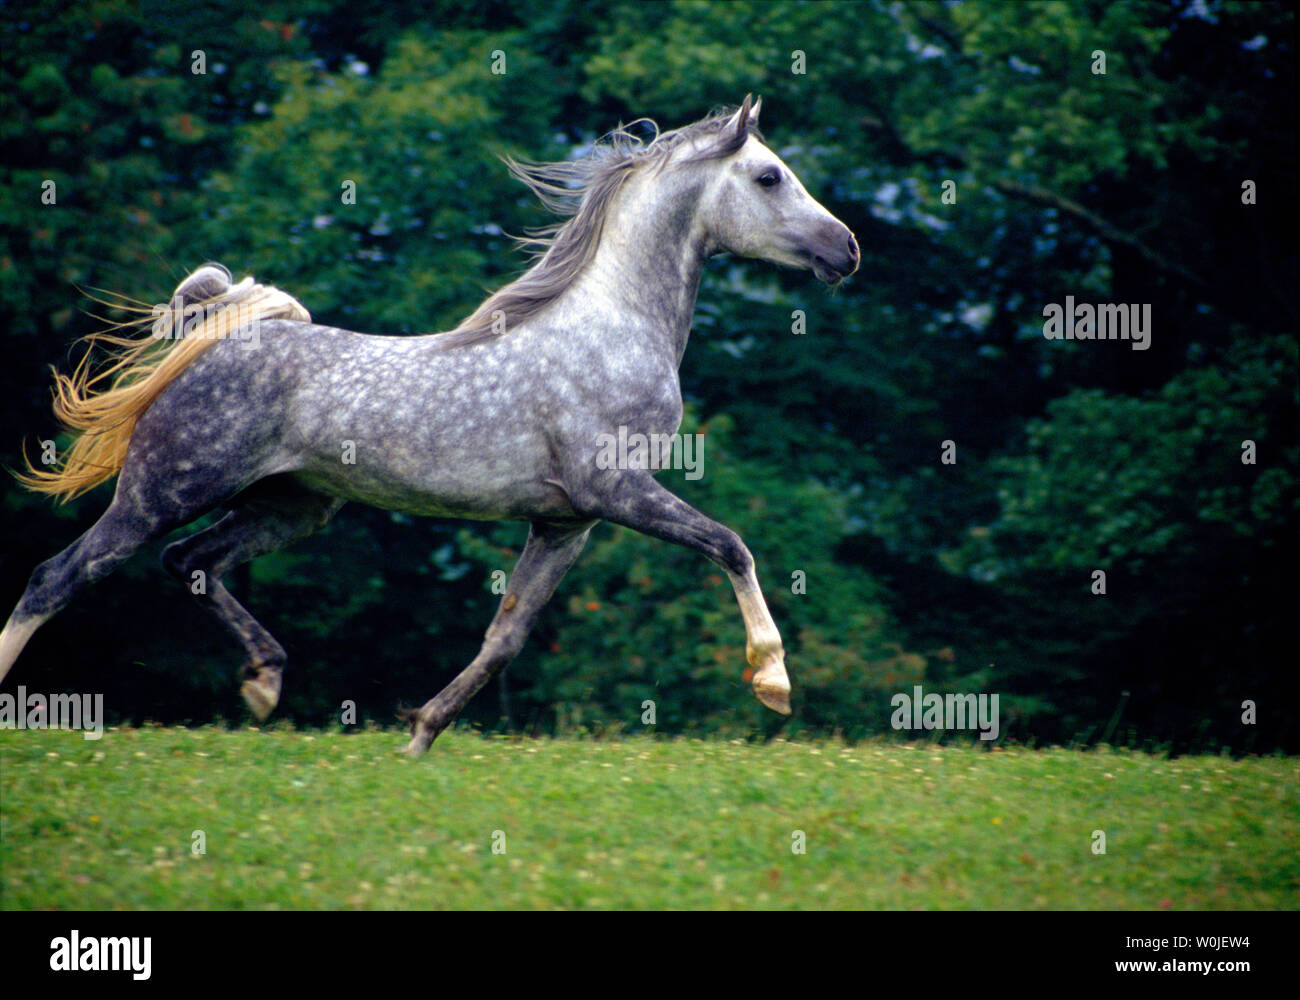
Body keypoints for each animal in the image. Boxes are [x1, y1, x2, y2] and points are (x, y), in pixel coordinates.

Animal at [0, 95, 858, 754]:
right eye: (769, 175)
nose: (846, 248)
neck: (612, 328)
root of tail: (211, 337)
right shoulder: (616, 490)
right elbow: (731, 545)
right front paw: (773, 680)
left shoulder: (566, 522)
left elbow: (505, 637)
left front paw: (419, 732)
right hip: (161, 493)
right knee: (56, 577)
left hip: (291, 507)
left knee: (189, 562)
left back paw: (266, 682)